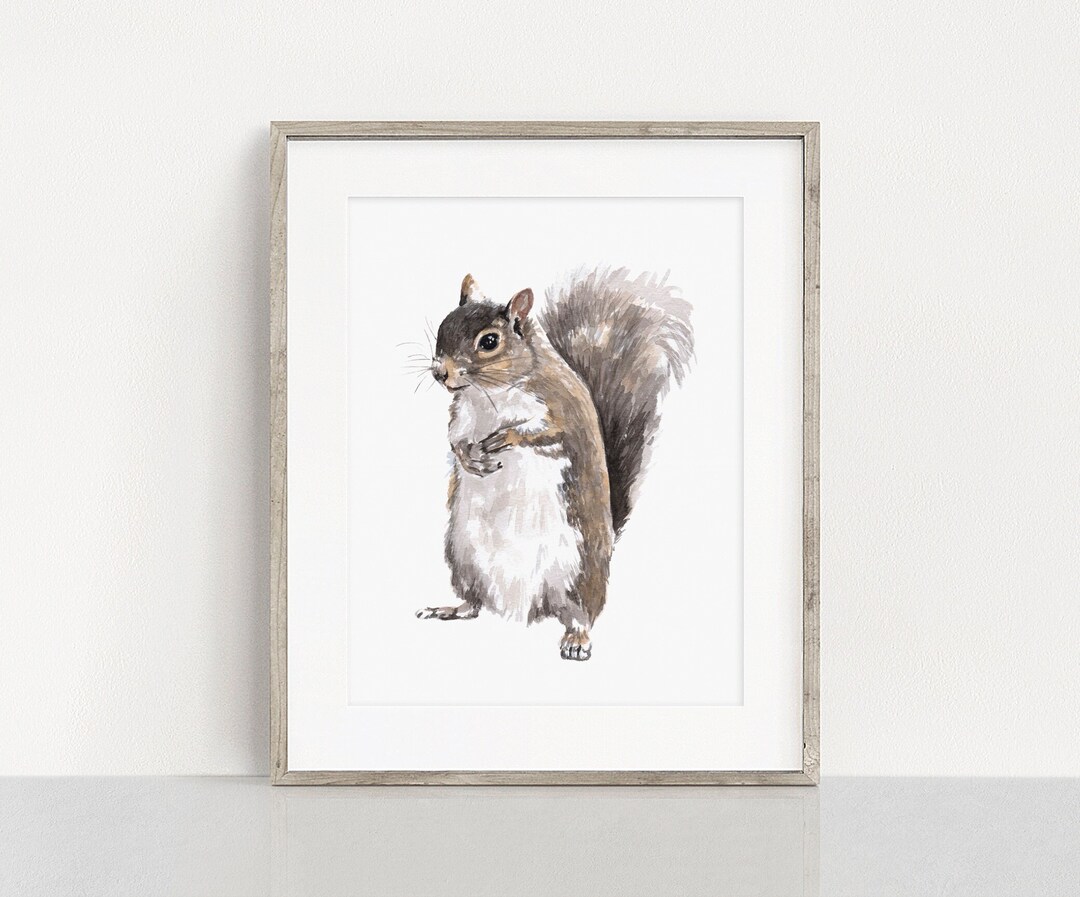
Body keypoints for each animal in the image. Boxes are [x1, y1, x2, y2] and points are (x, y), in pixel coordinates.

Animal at [416, 268, 694, 661]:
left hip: (579, 573)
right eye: (444, 325)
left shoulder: (561, 407)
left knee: (581, 613)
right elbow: (455, 439)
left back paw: (577, 639)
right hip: (462, 559)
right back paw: (451, 608)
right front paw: (469, 458)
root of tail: (522, 607)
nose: (440, 373)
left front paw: (507, 437)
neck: (491, 393)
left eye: (489, 341)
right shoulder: (463, 415)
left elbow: (544, 431)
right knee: (473, 603)